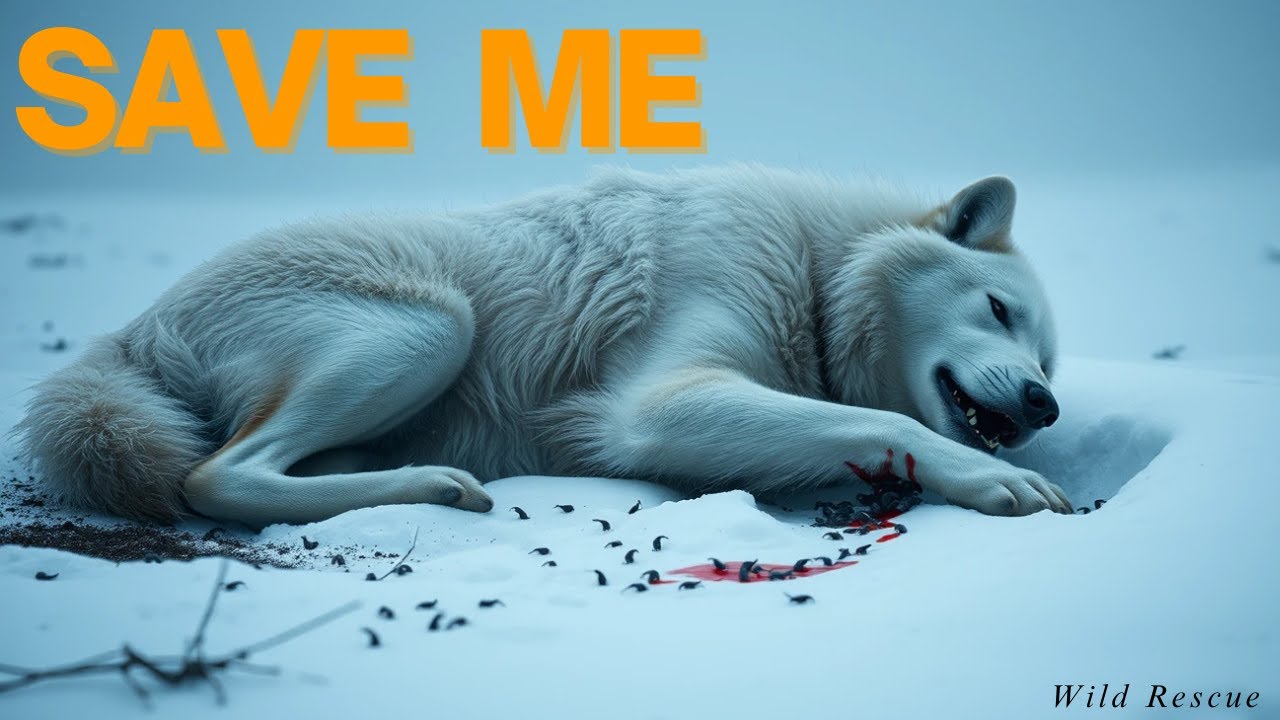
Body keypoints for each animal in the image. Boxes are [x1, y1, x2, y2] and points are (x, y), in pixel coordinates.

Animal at [18, 166, 1070, 527]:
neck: (818, 271)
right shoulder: (660, 403)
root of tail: (129, 334)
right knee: (214, 477)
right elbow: (881, 421)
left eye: (1050, 364)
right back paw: (431, 489)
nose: (1044, 405)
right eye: (996, 309)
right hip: (428, 325)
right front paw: (995, 482)